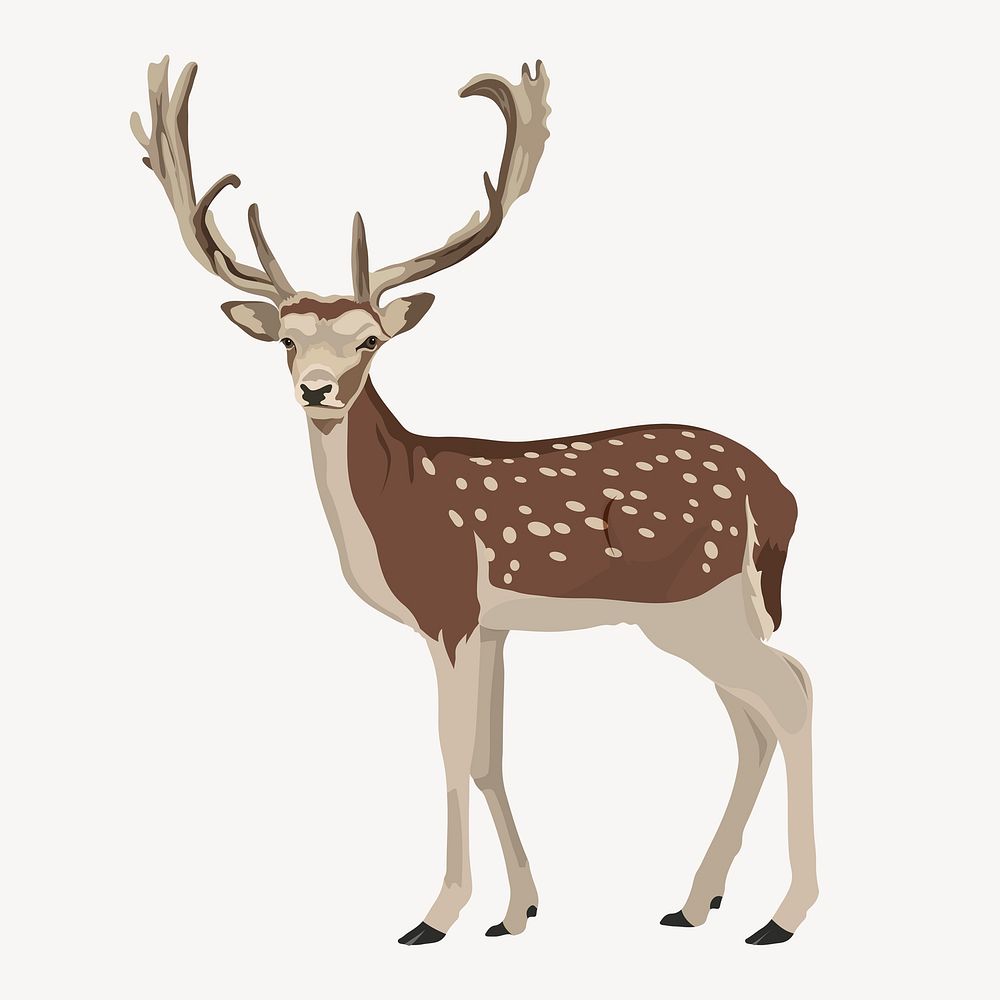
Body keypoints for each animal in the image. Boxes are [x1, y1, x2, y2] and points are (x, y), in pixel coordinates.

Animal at [131, 56, 817, 947]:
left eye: (370, 340)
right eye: (285, 337)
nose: (316, 389)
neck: (399, 504)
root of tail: (778, 491)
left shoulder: (448, 606)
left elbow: (452, 750)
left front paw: (435, 915)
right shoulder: (491, 625)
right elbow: (490, 755)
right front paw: (518, 912)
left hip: (692, 600)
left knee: (790, 694)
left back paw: (784, 915)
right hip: (711, 609)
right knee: (750, 722)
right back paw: (696, 903)